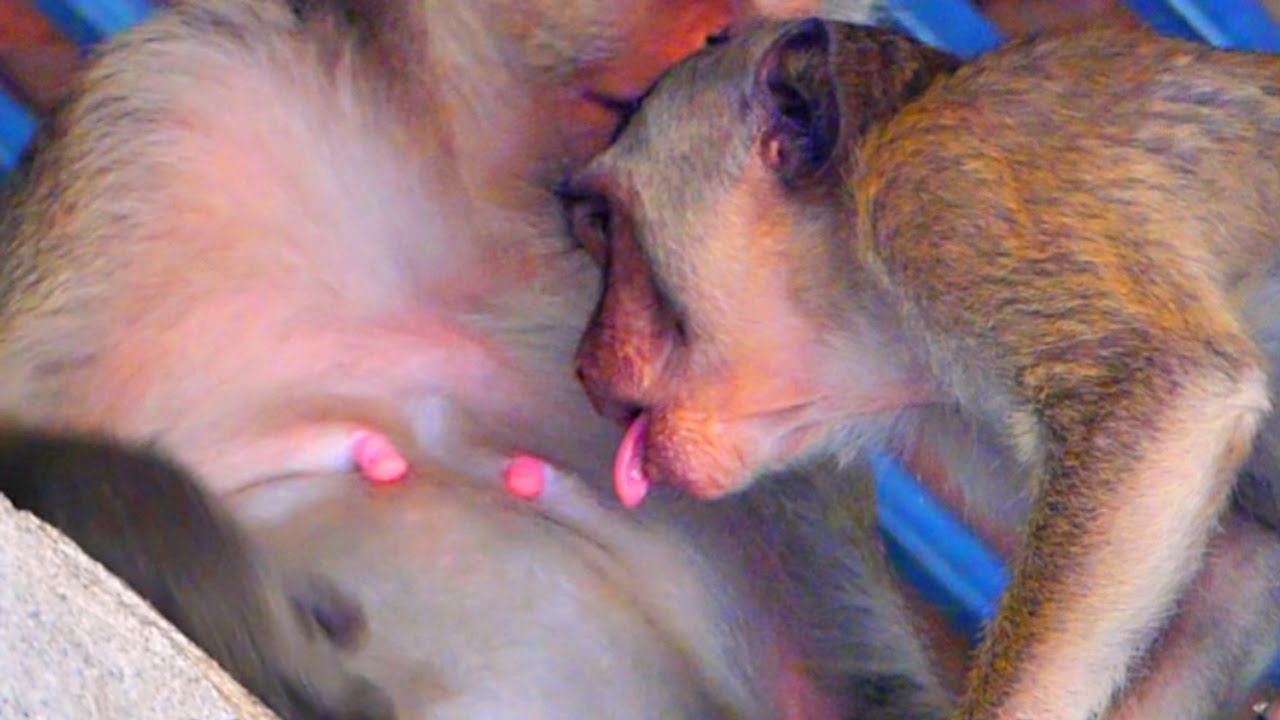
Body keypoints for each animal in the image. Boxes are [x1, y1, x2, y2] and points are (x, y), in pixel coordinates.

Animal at [570, 18, 1280, 720]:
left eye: (604, 223)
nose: (585, 362)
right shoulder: (948, 412)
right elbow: (1235, 563)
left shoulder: (940, 192)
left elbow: (1162, 390)